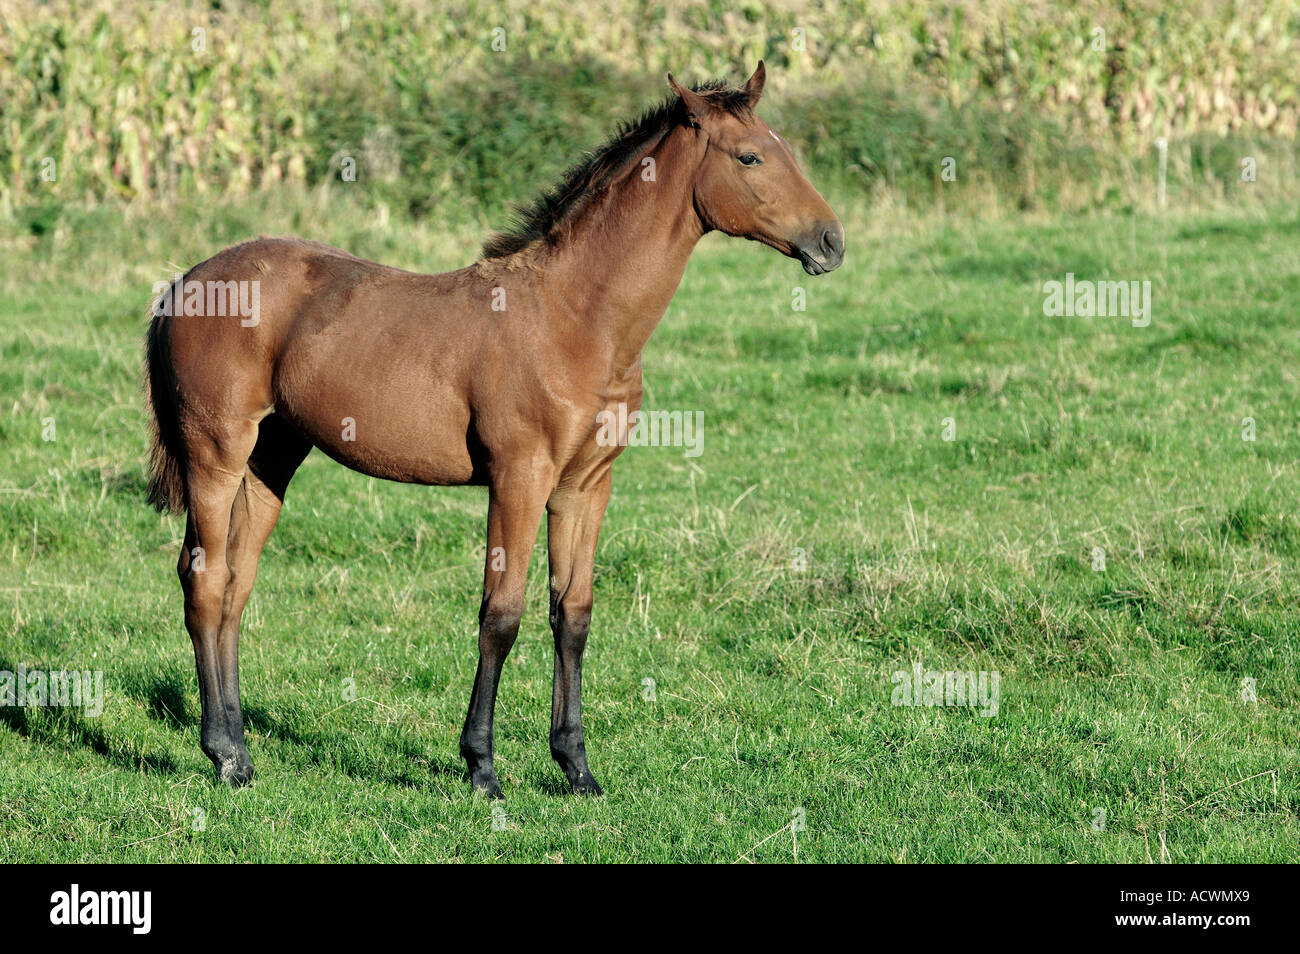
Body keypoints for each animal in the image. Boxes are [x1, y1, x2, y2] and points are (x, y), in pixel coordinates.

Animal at [144, 62, 844, 798]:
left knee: (236, 586)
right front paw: (481, 766)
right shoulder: (519, 477)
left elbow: (573, 614)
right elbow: (501, 614)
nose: (831, 242)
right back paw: (223, 753)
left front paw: (576, 767)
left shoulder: (585, 486)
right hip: (215, 452)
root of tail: (183, 283)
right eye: (750, 157)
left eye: (786, 148)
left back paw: (241, 750)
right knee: (207, 580)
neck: (576, 316)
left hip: (271, 458)